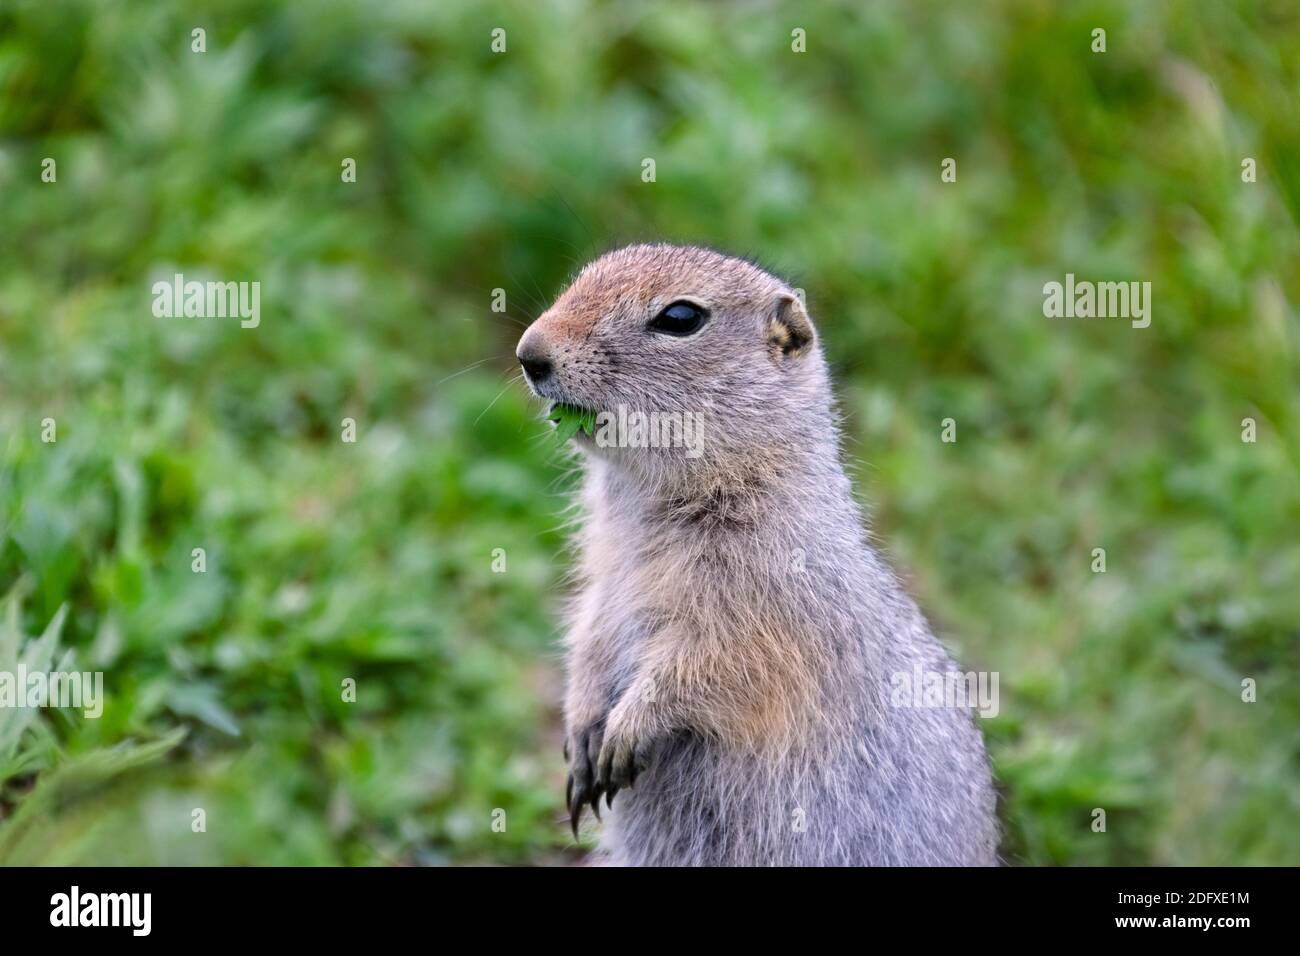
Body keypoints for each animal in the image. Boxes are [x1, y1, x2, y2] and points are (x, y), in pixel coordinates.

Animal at [517, 244, 998, 865]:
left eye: (680, 318)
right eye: (584, 275)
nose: (529, 353)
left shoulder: (768, 591)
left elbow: (718, 660)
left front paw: (626, 731)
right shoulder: (605, 573)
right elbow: (590, 631)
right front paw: (578, 737)